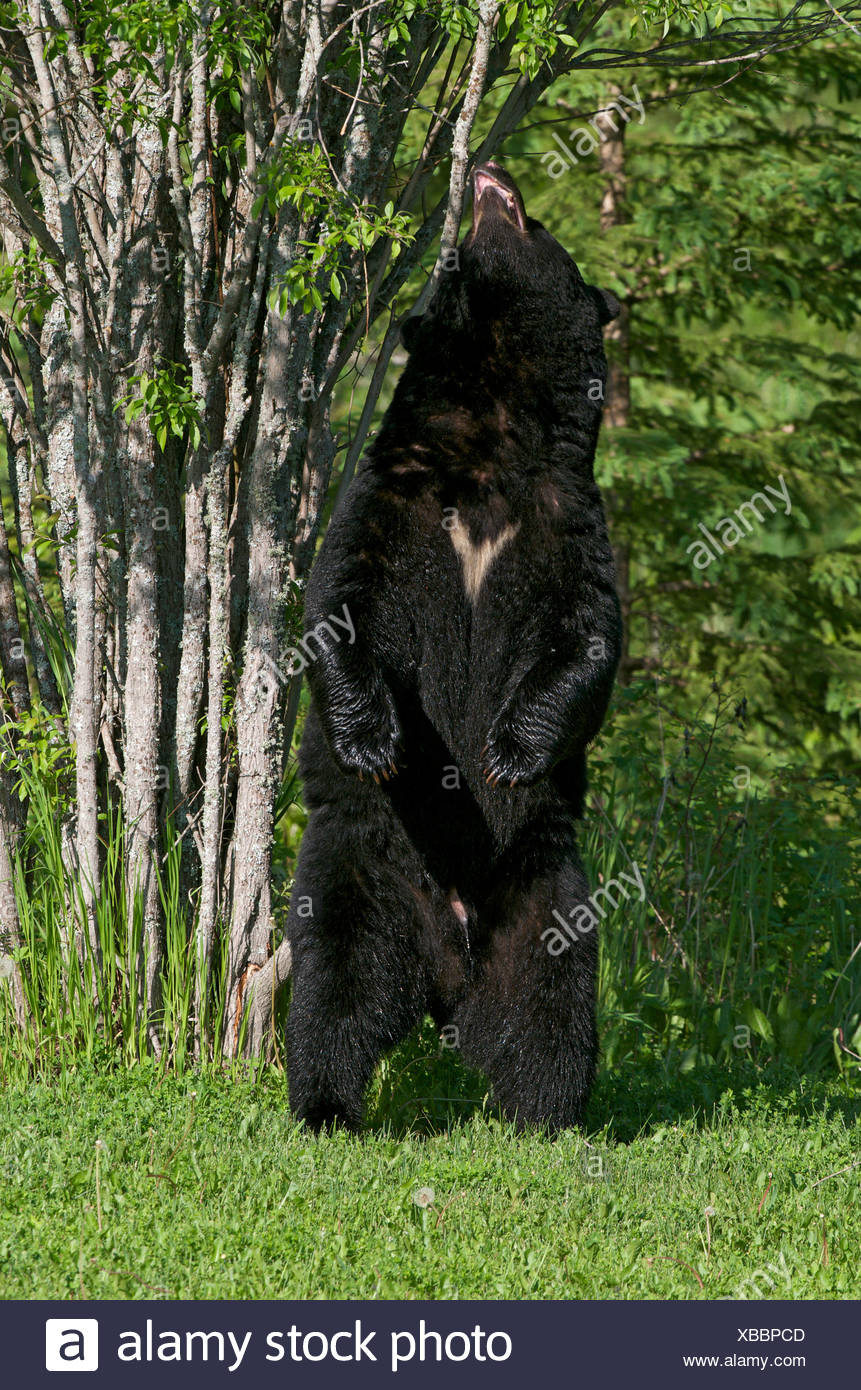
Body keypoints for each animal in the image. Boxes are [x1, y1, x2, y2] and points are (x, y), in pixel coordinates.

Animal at [286, 161, 622, 1133]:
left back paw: (544, 1117)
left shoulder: (562, 515)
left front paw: (510, 751)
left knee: (550, 1010)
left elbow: (586, 637)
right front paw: (372, 738)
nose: (488, 170)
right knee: (334, 993)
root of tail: (449, 968)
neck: (488, 440)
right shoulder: (392, 499)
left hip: (545, 890)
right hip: (361, 868)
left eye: (536, 225)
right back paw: (326, 1105)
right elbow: (339, 607)